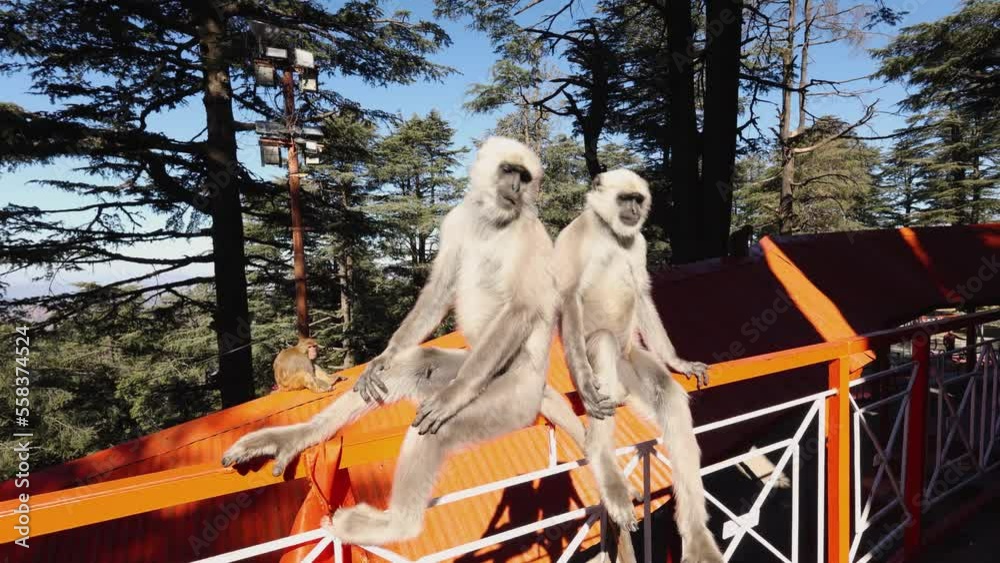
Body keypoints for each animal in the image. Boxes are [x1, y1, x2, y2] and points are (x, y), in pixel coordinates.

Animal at [221, 137, 585, 546]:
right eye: (510, 172)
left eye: (524, 177)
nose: (516, 188)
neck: (494, 222)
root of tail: (537, 385)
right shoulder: (459, 219)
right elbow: (439, 289)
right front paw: (383, 358)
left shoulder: (529, 233)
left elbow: (521, 307)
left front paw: (451, 398)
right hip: (478, 367)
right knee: (411, 366)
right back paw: (297, 436)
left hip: (511, 395)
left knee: (441, 428)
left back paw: (398, 524)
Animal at [554, 169, 724, 563]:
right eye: (624, 199)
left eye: (638, 199)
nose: (633, 210)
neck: (611, 234)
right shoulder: (576, 236)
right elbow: (569, 299)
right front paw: (584, 382)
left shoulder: (638, 243)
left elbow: (643, 292)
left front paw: (679, 361)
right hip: (599, 359)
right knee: (601, 342)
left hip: (631, 357)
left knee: (668, 397)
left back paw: (696, 537)